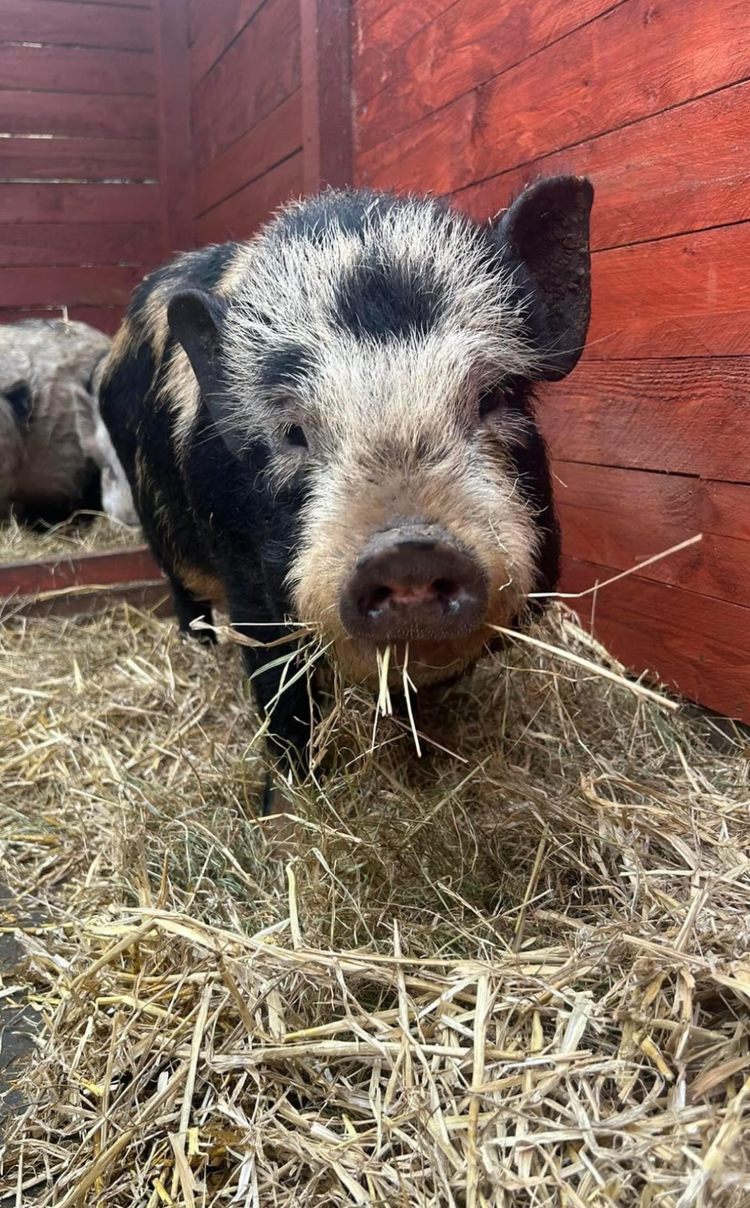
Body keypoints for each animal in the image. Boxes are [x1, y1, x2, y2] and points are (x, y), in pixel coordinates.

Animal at [99, 177, 593, 776]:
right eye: (292, 432)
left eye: (495, 396)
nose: (409, 547)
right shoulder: (249, 586)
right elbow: (281, 695)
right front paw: (294, 784)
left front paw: (422, 758)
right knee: (181, 588)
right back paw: (200, 647)